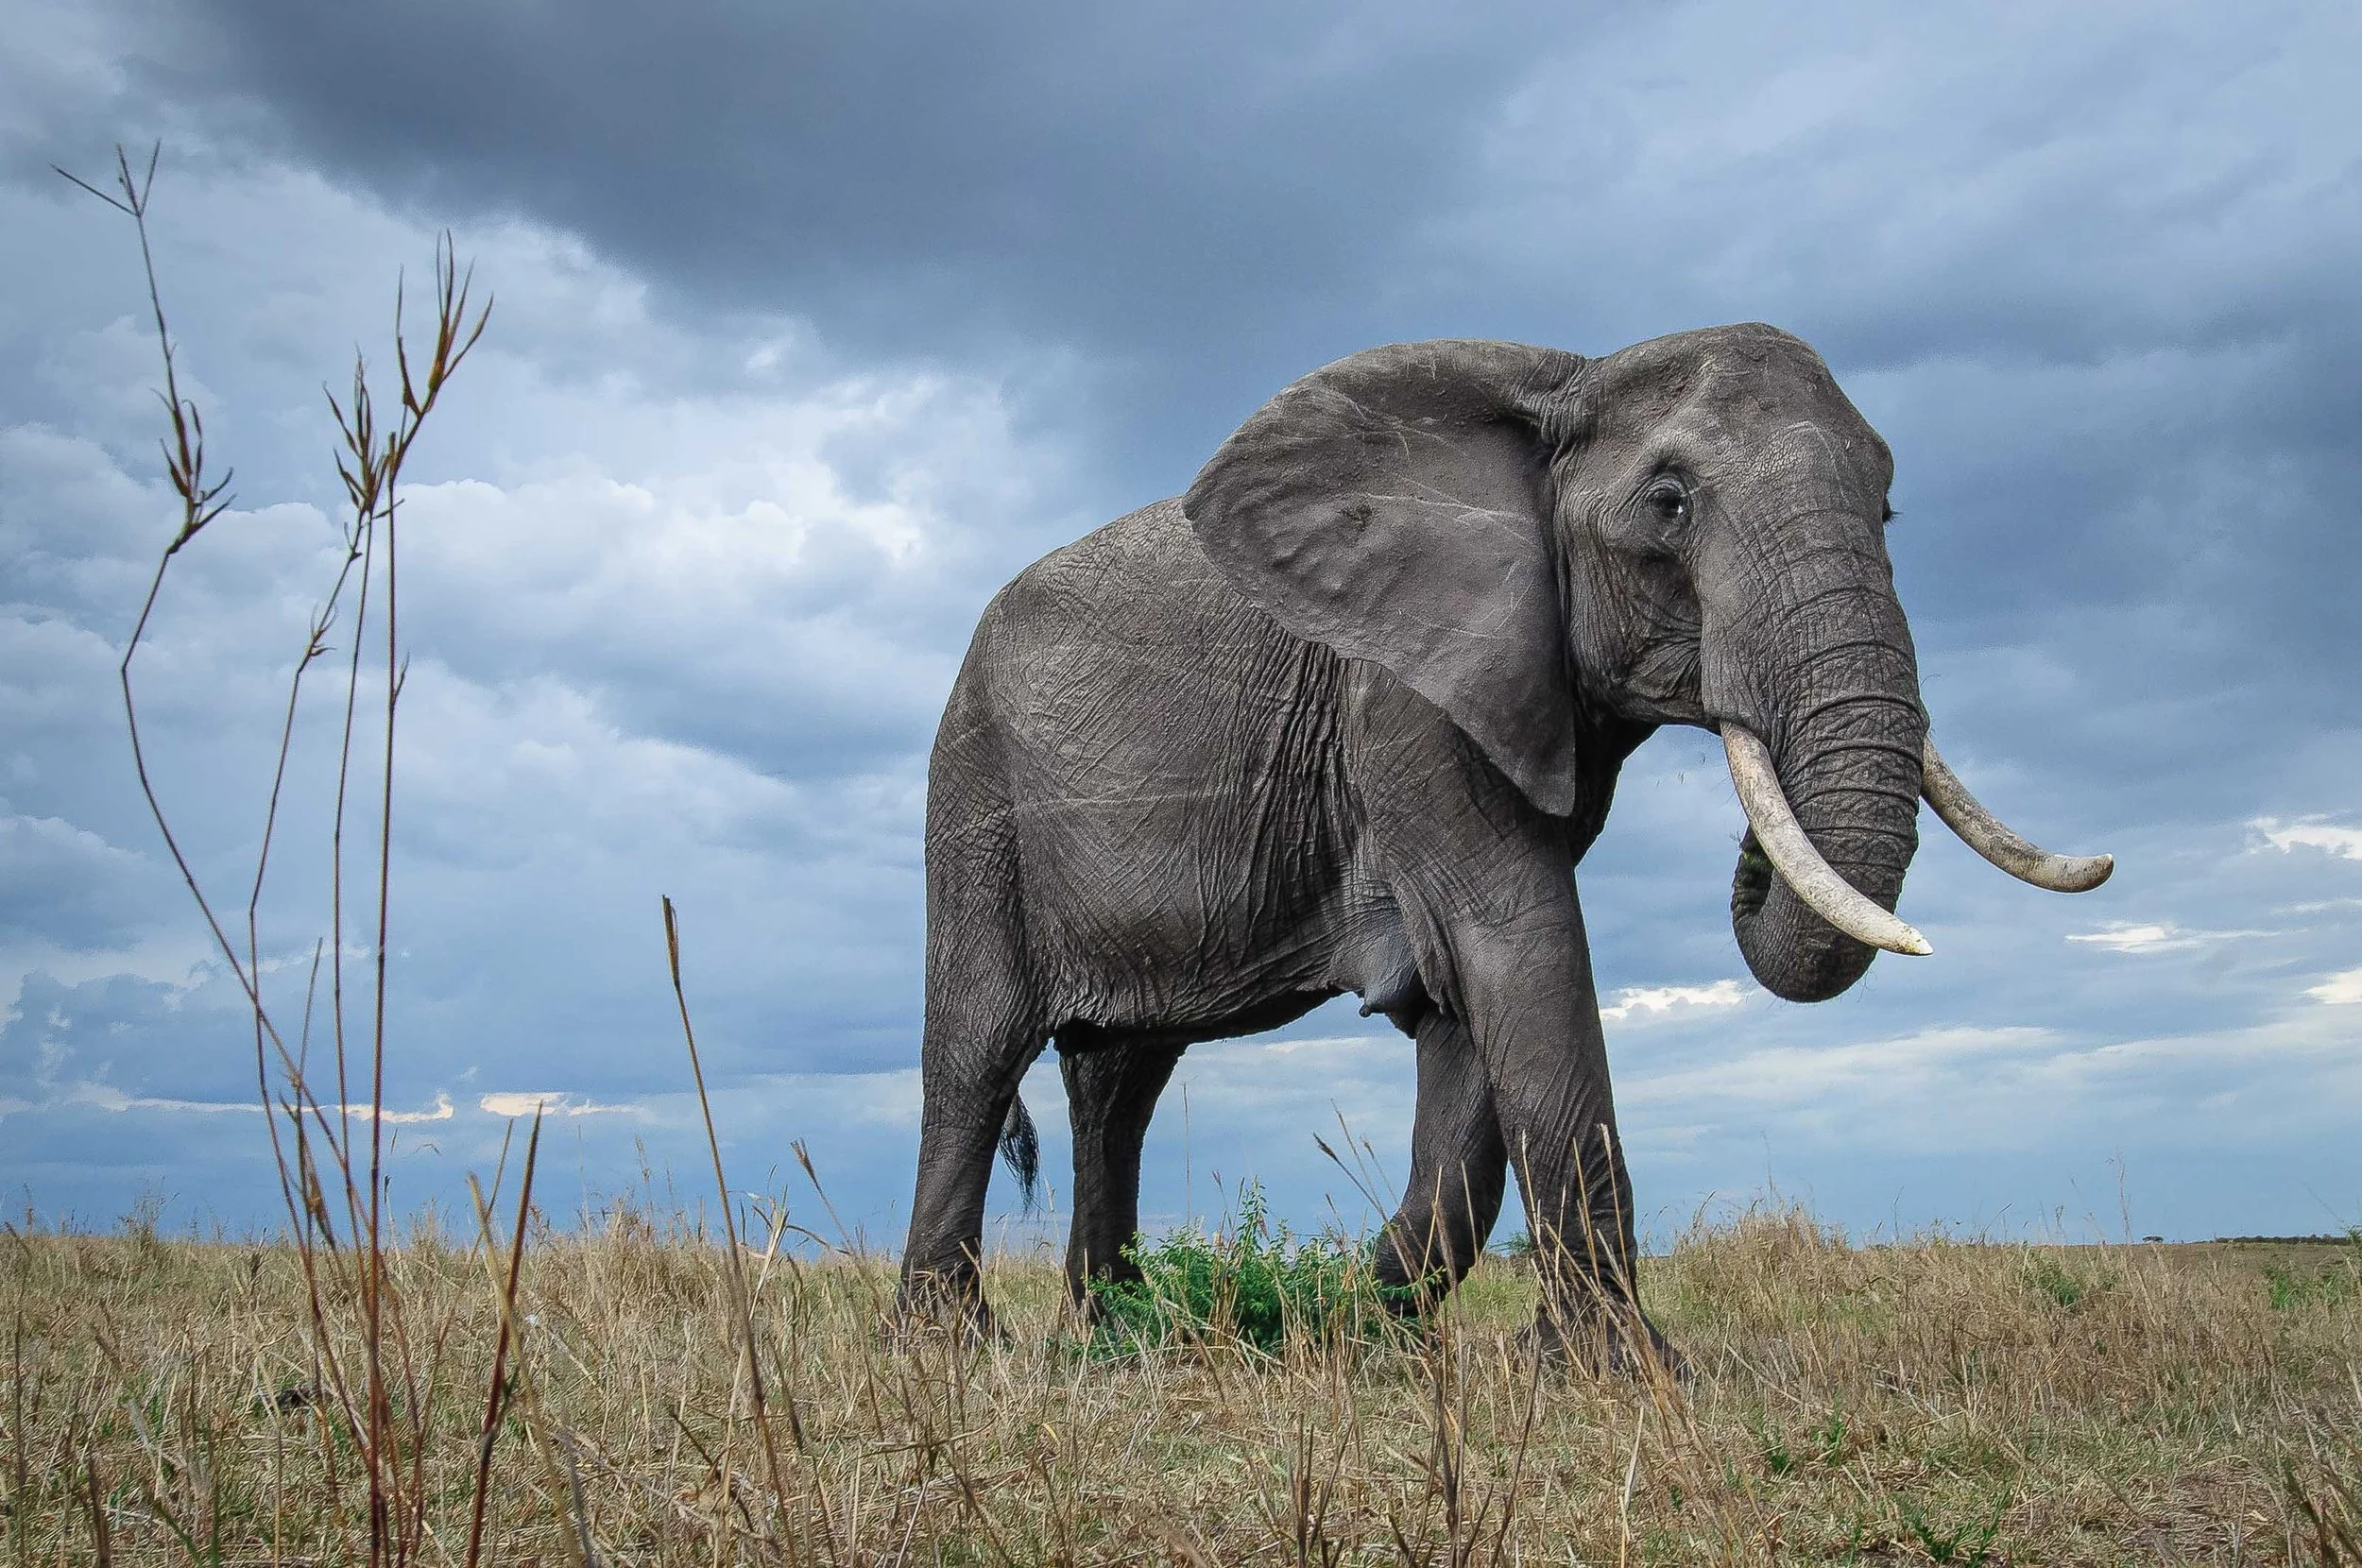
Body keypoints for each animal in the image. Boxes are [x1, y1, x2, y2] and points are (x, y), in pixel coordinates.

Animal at [895, 325, 2110, 1365]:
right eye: (1669, 502)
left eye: (1889, 508)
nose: (1748, 850)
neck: (1567, 385)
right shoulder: (1403, 701)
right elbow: (1517, 946)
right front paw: (1618, 1372)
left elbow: (1469, 1014)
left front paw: (1358, 1325)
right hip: (973, 783)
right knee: (977, 1052)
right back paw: (954, 1349)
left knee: (1121, 1076)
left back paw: (1117, 1334)